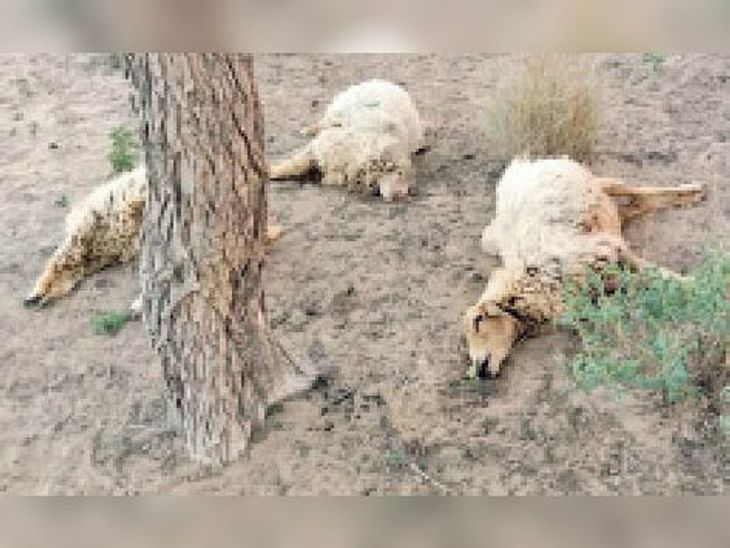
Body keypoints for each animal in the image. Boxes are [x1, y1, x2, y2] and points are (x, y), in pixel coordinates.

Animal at [269, 79, 427, 201]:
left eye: (398, 172)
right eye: (392, 170)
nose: (401, 195)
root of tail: (386, 82)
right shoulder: (320, 146)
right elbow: (295, 163)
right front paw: (271, 171)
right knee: (322, 122)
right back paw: (309, 129)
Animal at [464, 157, 706, 379]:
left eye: (478, 321)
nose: (477, 372)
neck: (533, 280)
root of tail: (524, 164)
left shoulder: (609, 252)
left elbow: (662, 274)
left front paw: (699, 285)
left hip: (598, 184)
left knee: (637, 192)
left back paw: (693, 190)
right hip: (608, 212)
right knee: (634, 205)